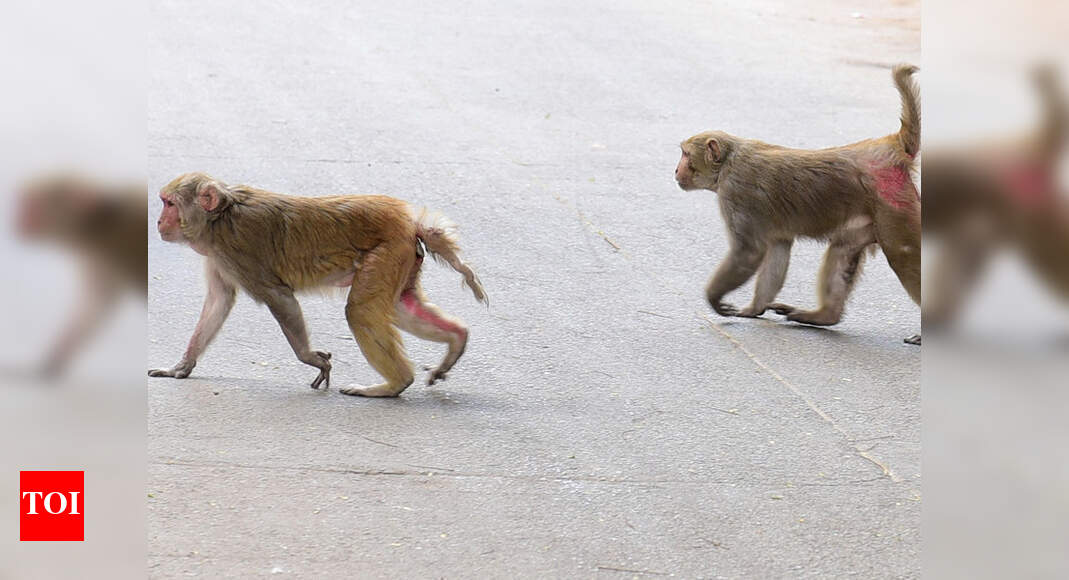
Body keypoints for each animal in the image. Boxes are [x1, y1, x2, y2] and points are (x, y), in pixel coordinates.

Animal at [15, 173, 147, 377]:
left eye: (35, 205)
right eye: (24, 202)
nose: (20, 218)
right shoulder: (100, 258)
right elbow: (94, 307)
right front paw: (53, 359)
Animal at [148, 173, 487, 397]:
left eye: (169, 204)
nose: (158, 222)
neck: (220, 217)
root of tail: (409, 221)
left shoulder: (236, 251)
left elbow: (279, 297)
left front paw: (310, 358)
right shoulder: (218, 256)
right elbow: (219, 302)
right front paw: (181, 367)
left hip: (387, 252)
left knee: (361, 311)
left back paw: (393, 385)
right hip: (404, 258)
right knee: (401, 306)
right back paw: (456, 339)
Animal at [675, 65, 921, 344]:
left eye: (685, 154)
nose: (676, 170)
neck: (728, 163)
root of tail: (889, 147)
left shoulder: (735, 193)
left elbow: (749, 252)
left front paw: (715, 299)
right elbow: (778, 249)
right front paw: (754, 308)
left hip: (894, 207)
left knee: (903, 253)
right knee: (844, 248)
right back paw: (822, 316)